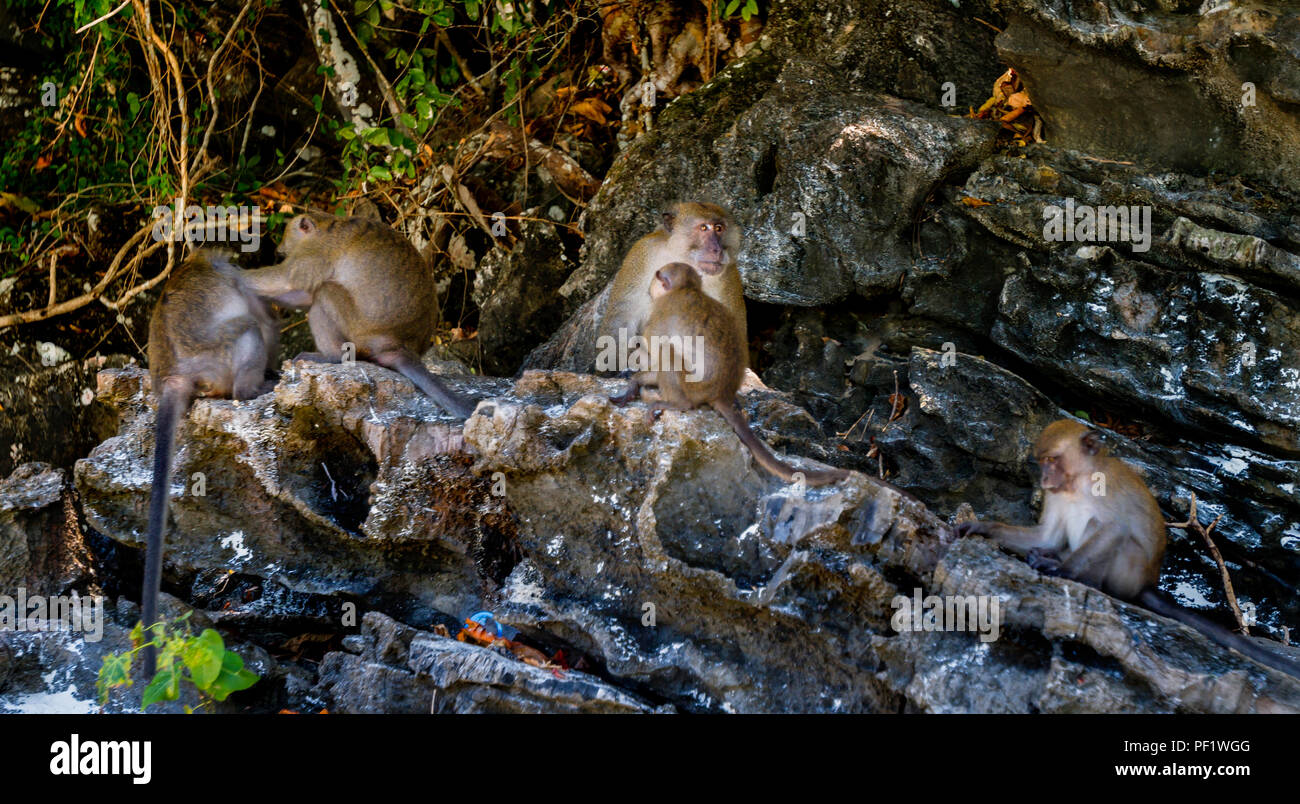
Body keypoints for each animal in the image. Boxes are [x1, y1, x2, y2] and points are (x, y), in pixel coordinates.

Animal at [143, 250, 280, 677]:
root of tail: (173, 377)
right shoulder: (233, 275)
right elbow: (263, 319)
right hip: (220, 361)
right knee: (249, 328)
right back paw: (251, 389)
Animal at [241, 212, 476, 418]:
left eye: (286, 237)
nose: (280, 249)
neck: (326, 227)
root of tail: (399, 347)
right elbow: (302, 294)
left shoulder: (315, 252)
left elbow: (289, 281)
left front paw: (233, 273)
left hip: (360, 332)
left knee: (325, 292)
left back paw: (331, 356)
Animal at [599, 202, 746, 373]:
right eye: (703, 228)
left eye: (719, 228)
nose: (717, 250)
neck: (684, 259)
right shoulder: (642, 254)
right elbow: (622, 321)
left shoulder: (728, 277)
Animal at [609, 262, 847, 486]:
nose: (649, 290)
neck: (686, 289)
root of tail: (723, 392)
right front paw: (633, 384)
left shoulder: (659, 314)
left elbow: (655, 348)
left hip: (694, 386)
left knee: (669, 354)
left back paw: (677, 403)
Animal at [955, 418, 1300, 679]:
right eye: (1042, 462)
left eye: (1052, 461)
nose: (1044, 477)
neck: (1077, 482)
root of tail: (1145, 584)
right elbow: (1047, 536)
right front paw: (984, 528)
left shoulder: (1104, 488)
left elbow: (1115, 529)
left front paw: (1064, 570)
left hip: (1127, 574)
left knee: (1113, 536)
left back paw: (1086, 579)